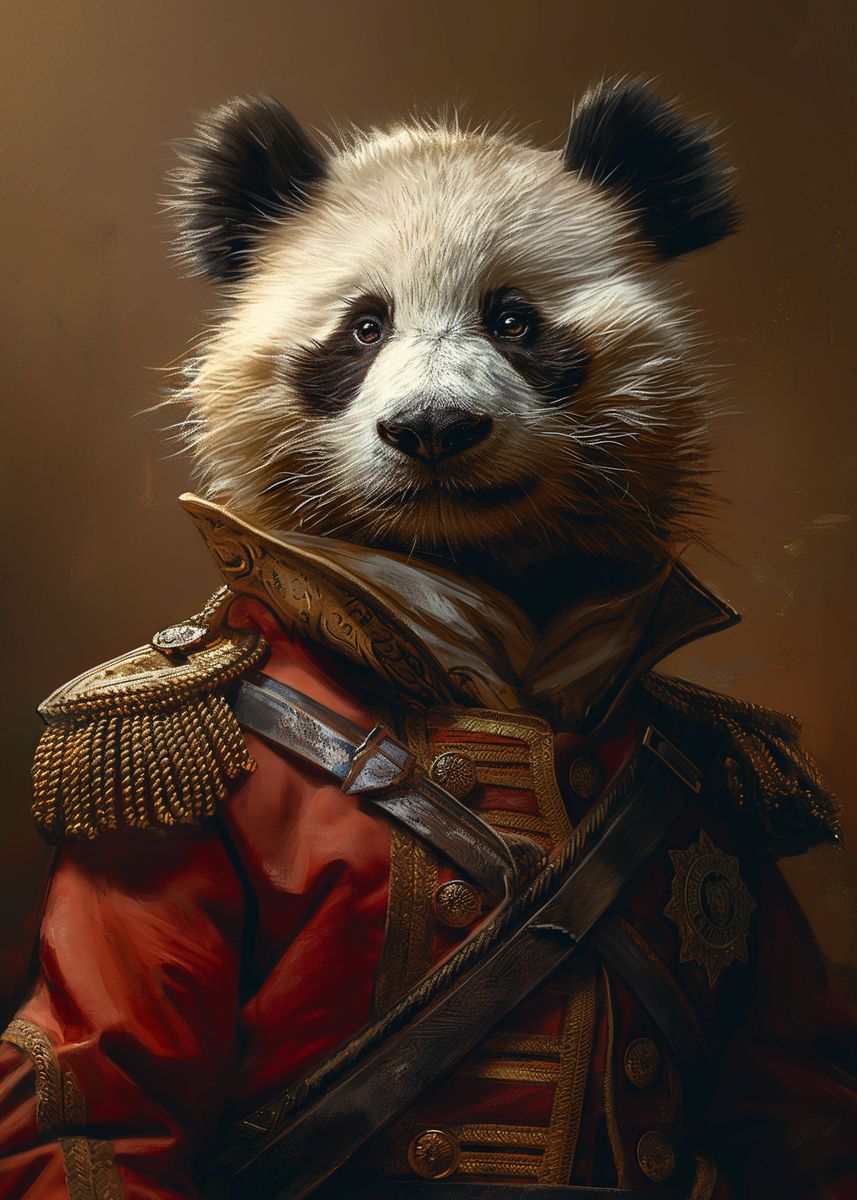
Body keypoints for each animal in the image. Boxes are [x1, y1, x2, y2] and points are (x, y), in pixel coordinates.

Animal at [0, 80, 853, 1200]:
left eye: (514, 319)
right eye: (364, 326)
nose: (434, 429)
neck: (471, 626)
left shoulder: (710, 786)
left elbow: (784, 1063)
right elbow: (108, 1077)